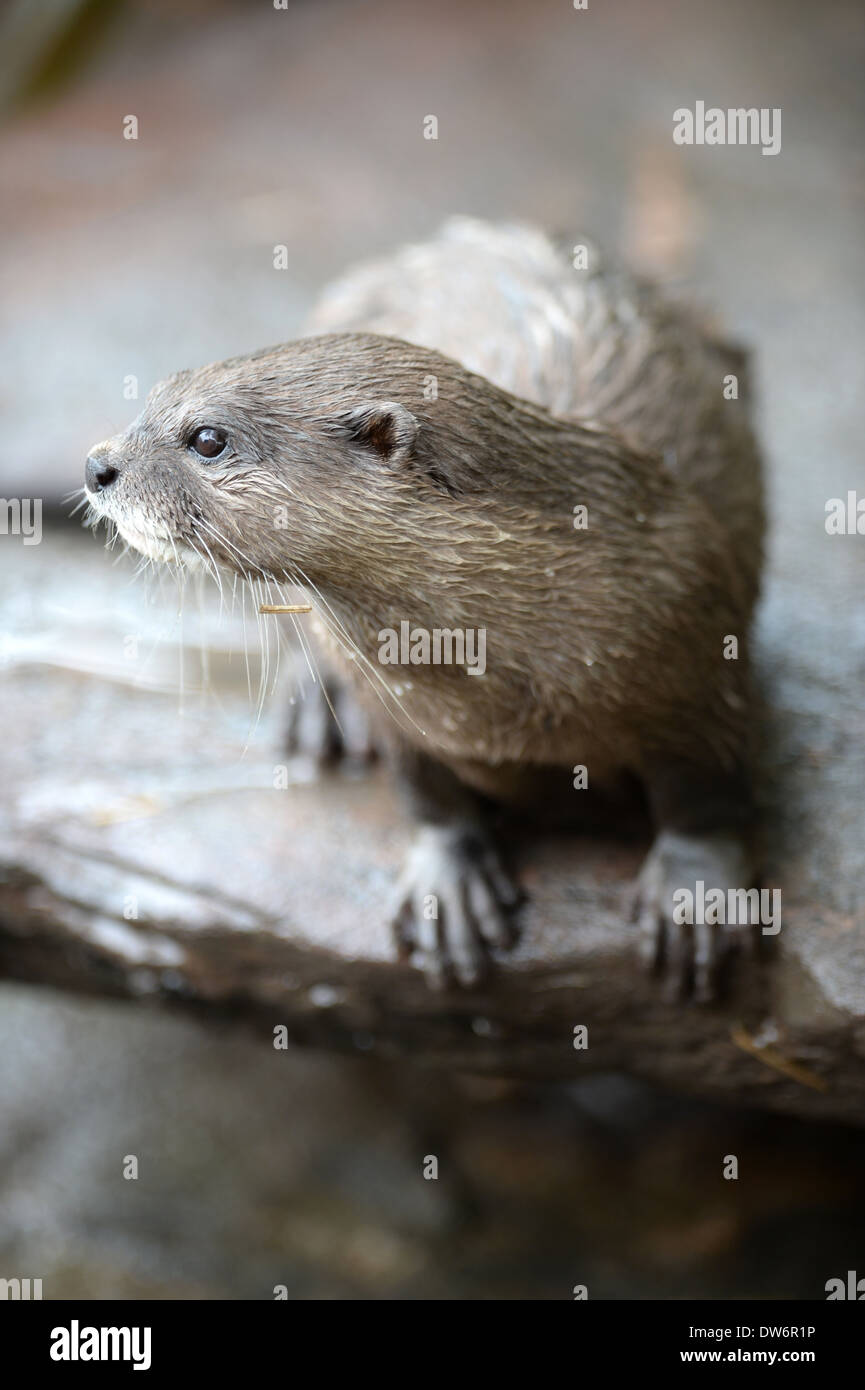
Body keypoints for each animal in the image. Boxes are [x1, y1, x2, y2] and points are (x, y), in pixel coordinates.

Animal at [84, 217, 765, 1000]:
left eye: (206, 438)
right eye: (154, 397)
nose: (97, 465)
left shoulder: (695, 647)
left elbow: (705, 789)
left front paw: (695, 894)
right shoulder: (391, 701)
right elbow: (423, 788)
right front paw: (449, 884)